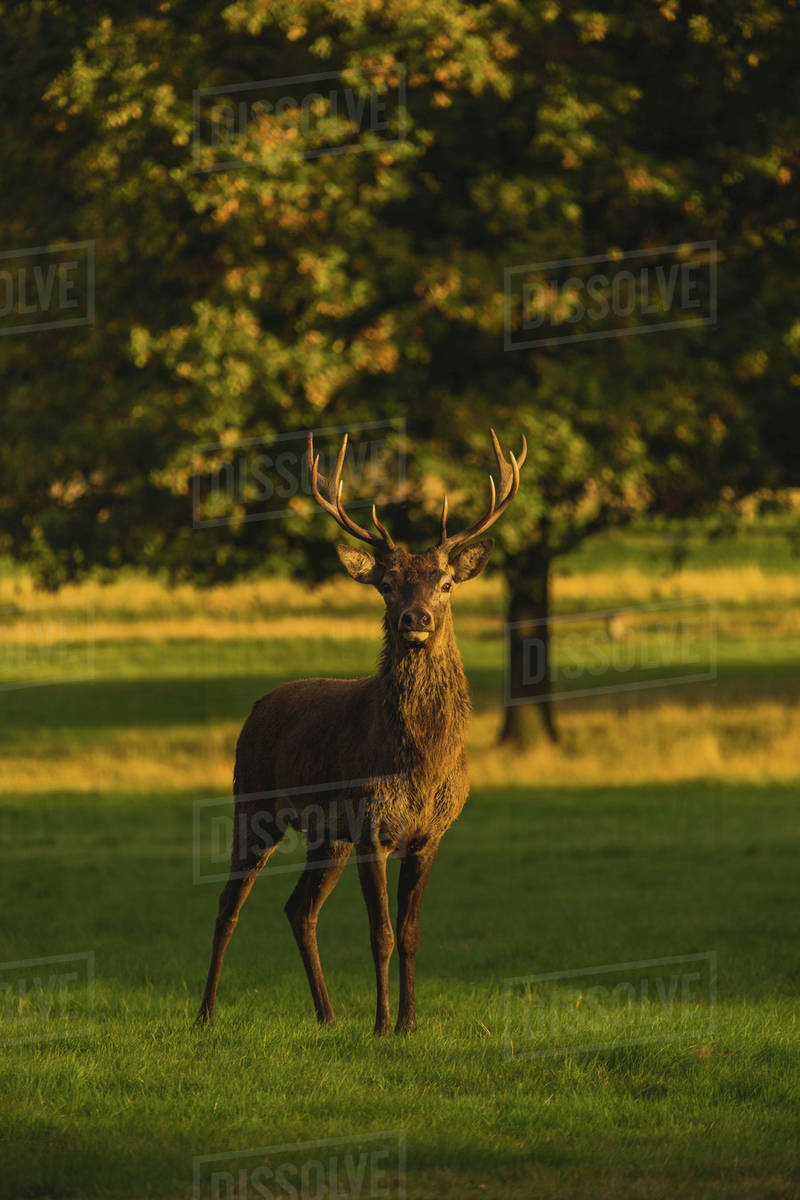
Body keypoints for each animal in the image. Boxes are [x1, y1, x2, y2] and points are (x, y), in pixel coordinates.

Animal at [196, 429, 526, 1035]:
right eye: (388, 584)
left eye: (446, 583)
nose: (416, 619)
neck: (421, 765)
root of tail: (257, 707)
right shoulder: (372, 825)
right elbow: (382, 934)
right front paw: (380, 1025)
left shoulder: (429, 834)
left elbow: (413, 933)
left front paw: (410, 1024)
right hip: (253, 802)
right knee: (229, 904)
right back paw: (205, 1013)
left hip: (327, 836)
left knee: (298, 907)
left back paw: (326, 1016)